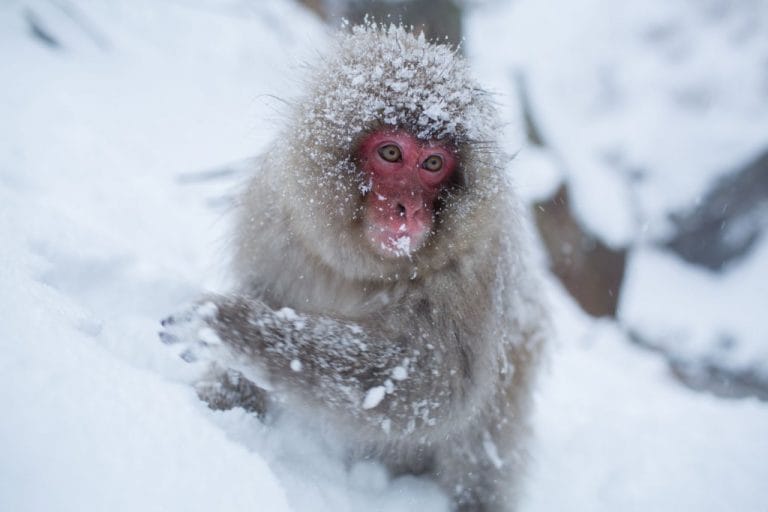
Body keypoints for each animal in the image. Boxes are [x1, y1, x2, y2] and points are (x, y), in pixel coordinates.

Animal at [160, 24, 548, 512]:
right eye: (391, 153)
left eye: (433, 163)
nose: (407, 210)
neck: (363, 265)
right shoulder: (275, 218)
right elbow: (264, 288)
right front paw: (225, 401)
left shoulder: (472, 270)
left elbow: (431, 385)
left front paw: (230, 328)